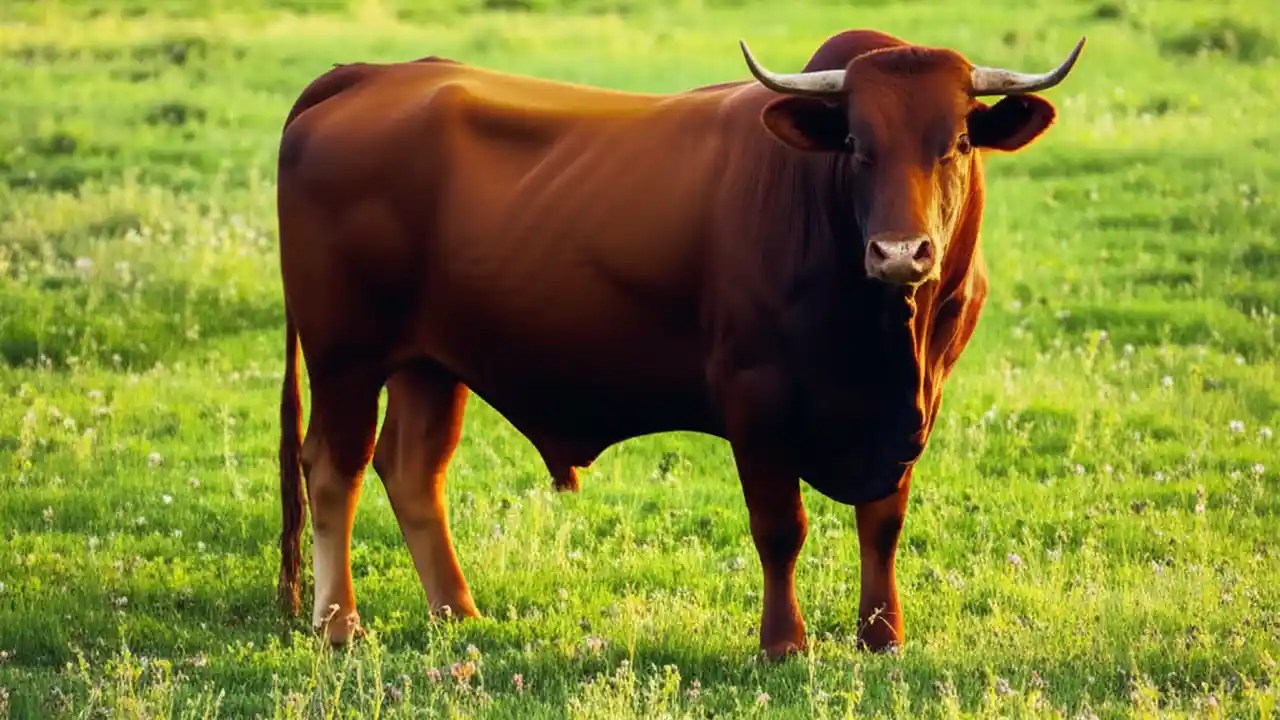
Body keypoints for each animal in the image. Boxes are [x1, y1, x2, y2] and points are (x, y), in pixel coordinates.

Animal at [275, 29, 1084, 657]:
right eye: (856, 143)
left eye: (957, 142)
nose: (899, 252)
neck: (885, 339)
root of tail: (370, 74)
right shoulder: (755, 398)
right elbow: (779, 527)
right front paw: (783, 643)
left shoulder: (912, 408)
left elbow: (882, 523)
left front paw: (882, 636)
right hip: (346, 355)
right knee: (335, 469)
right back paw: (340, 623)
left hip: (428, 363)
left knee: (414, 470)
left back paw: (457, 611)